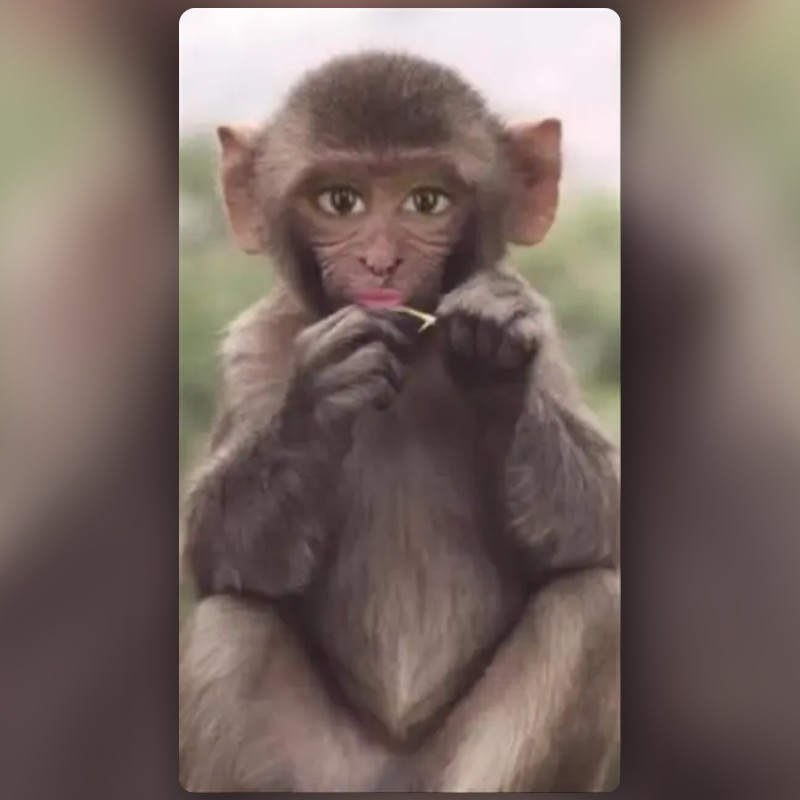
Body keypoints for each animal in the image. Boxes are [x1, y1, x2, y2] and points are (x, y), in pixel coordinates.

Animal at [179, 51, 620, 793]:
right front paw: (318, 401)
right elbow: (215, 550)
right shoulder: (254, 349)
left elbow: (603, 518)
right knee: (233, 624)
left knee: (590, 605)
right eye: (340, 201)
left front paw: (495, 360)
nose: (380, 262)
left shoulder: (550, 336)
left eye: (427, 201)